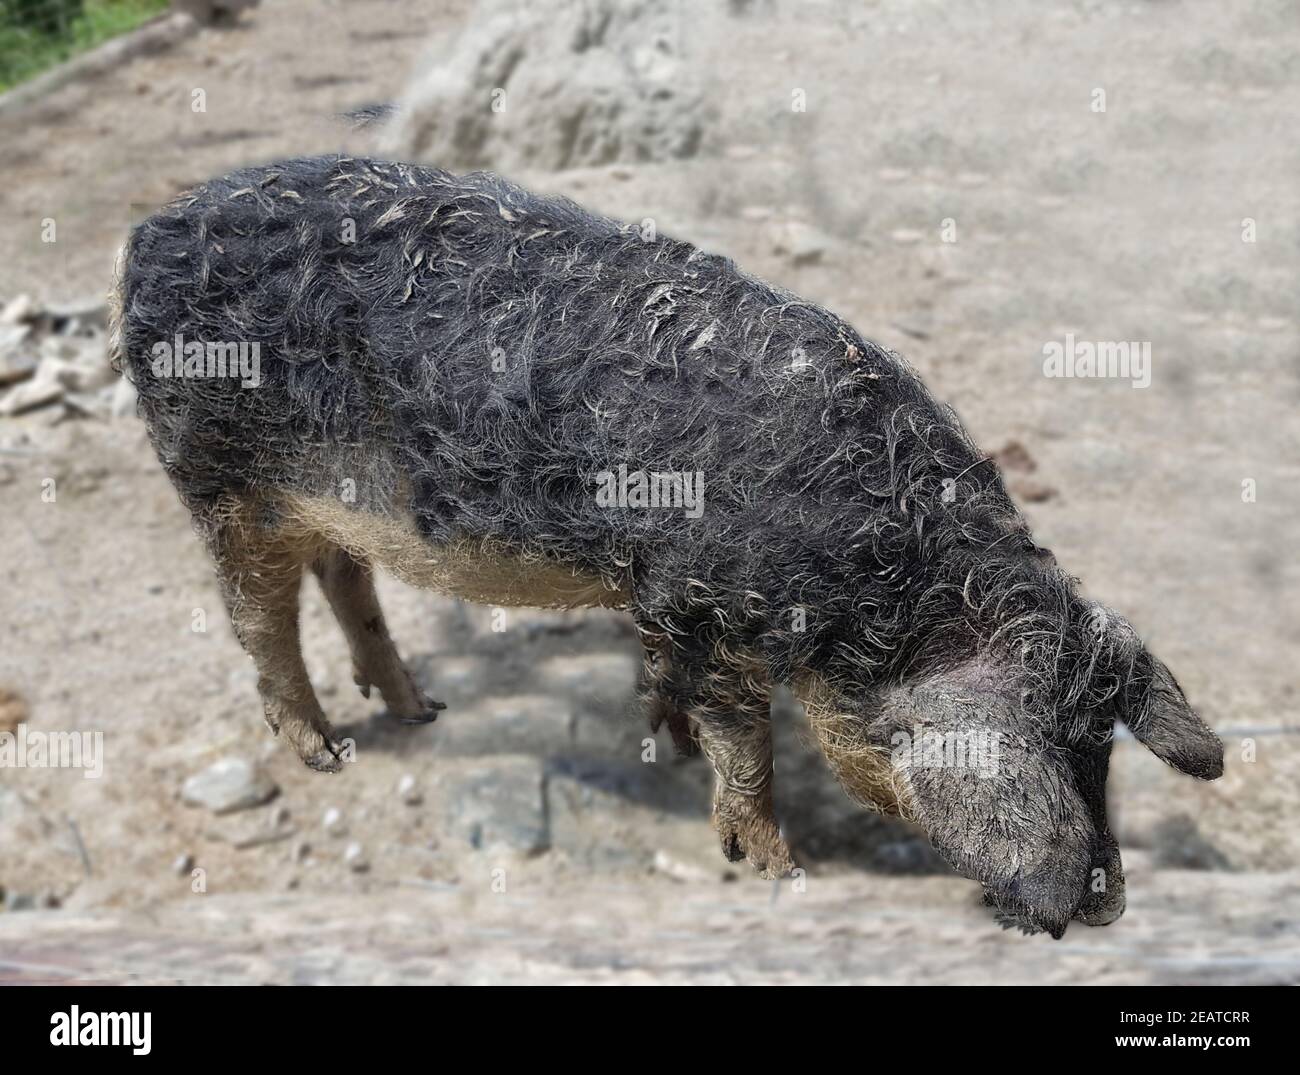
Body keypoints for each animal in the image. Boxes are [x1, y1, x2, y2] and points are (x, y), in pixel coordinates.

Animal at [111, 155, 1223, 937]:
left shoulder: (663, 601)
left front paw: (669, 737)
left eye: (1102, 750)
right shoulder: (709, 603)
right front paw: (774, 867)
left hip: (324, 502)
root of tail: (148, 231)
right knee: (257, 615)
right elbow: (745, 738)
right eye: (1048, 750)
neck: (880, 581)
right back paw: (326, 751)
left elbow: (677, 688)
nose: (1102, 903)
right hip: (215, 473)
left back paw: (420, 708)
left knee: (341, 574)